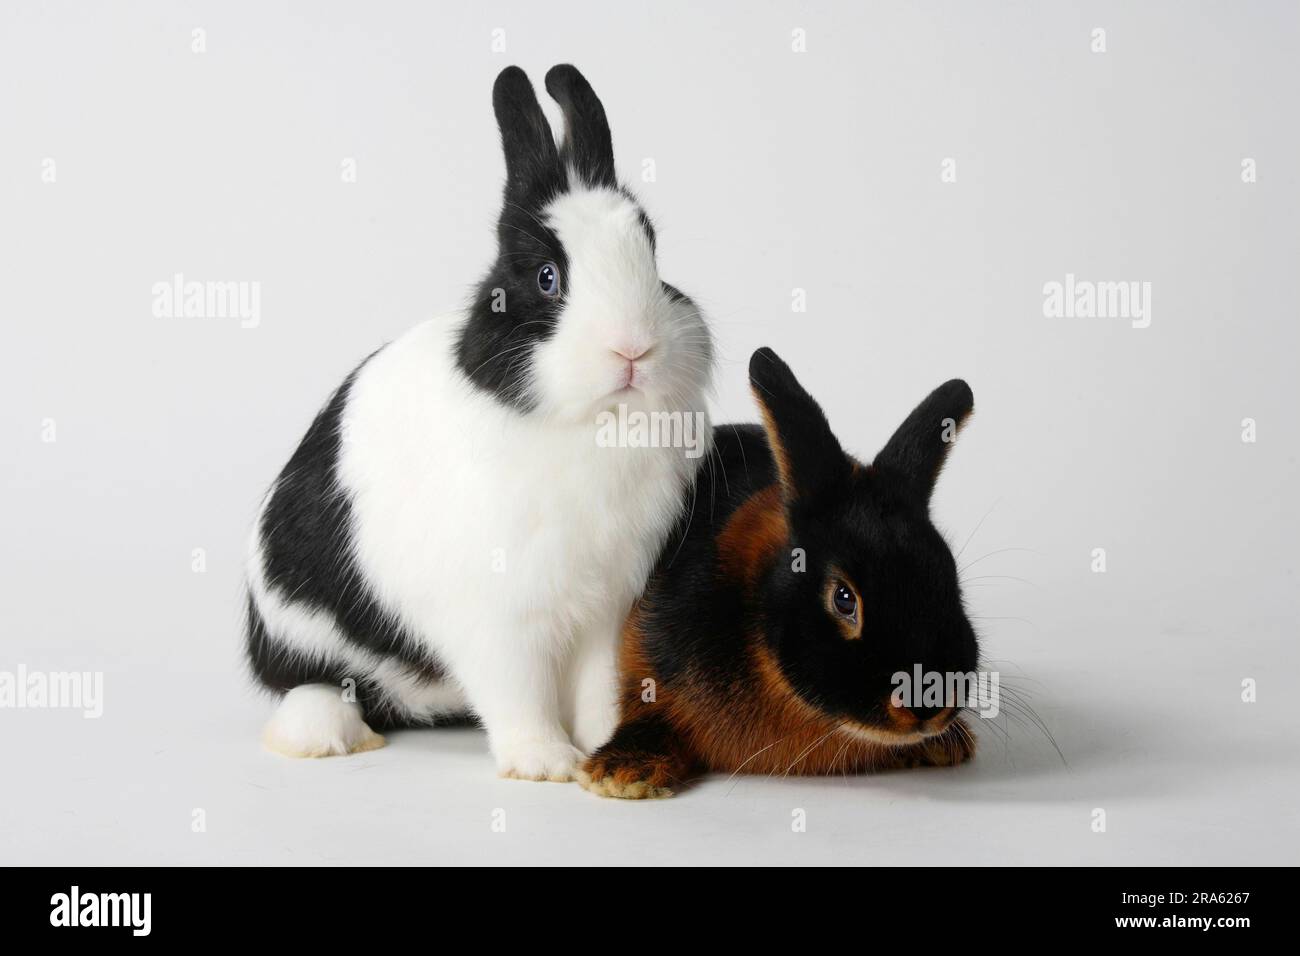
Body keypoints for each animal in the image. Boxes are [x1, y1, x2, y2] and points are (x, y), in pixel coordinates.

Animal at [245, 64, 714, 782]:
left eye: (651, 255)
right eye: (547, 278)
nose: (633, 349)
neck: (591, 426)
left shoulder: (604, 610)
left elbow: (596, 686)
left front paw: (602, 745)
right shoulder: (497, 620)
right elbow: (517, 693)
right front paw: (546, 762)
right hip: (305, 634)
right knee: (314, 685)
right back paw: (325, 737)